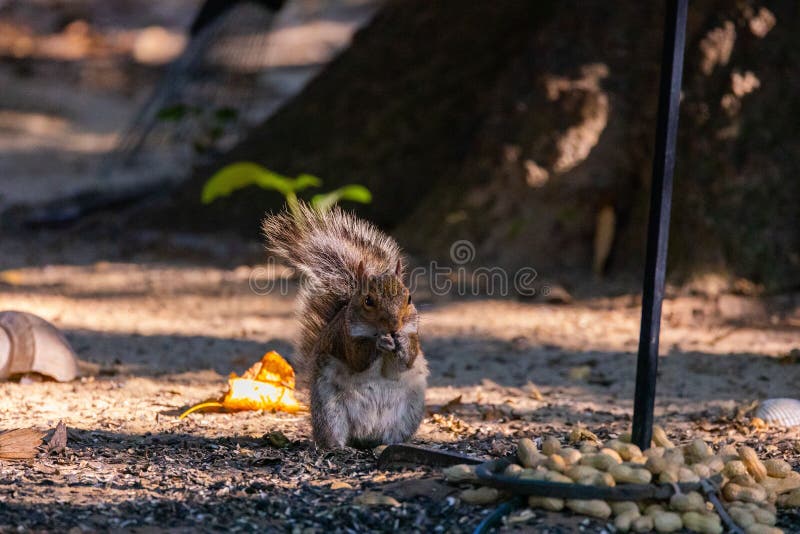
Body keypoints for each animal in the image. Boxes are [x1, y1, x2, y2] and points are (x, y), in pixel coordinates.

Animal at [262, 203, 428, 448]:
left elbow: (405, 362)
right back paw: (337, 447)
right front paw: (379, 342)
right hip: (330, 411)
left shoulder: (412, 334)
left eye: (409, 298)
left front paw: (400, 342)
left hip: (408, 414)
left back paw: (385, 445)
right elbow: (357, 359)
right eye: (368, 301)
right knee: (333, 432)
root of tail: (366, 435)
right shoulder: (344, 337)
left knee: (391, 436)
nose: (394, 325)